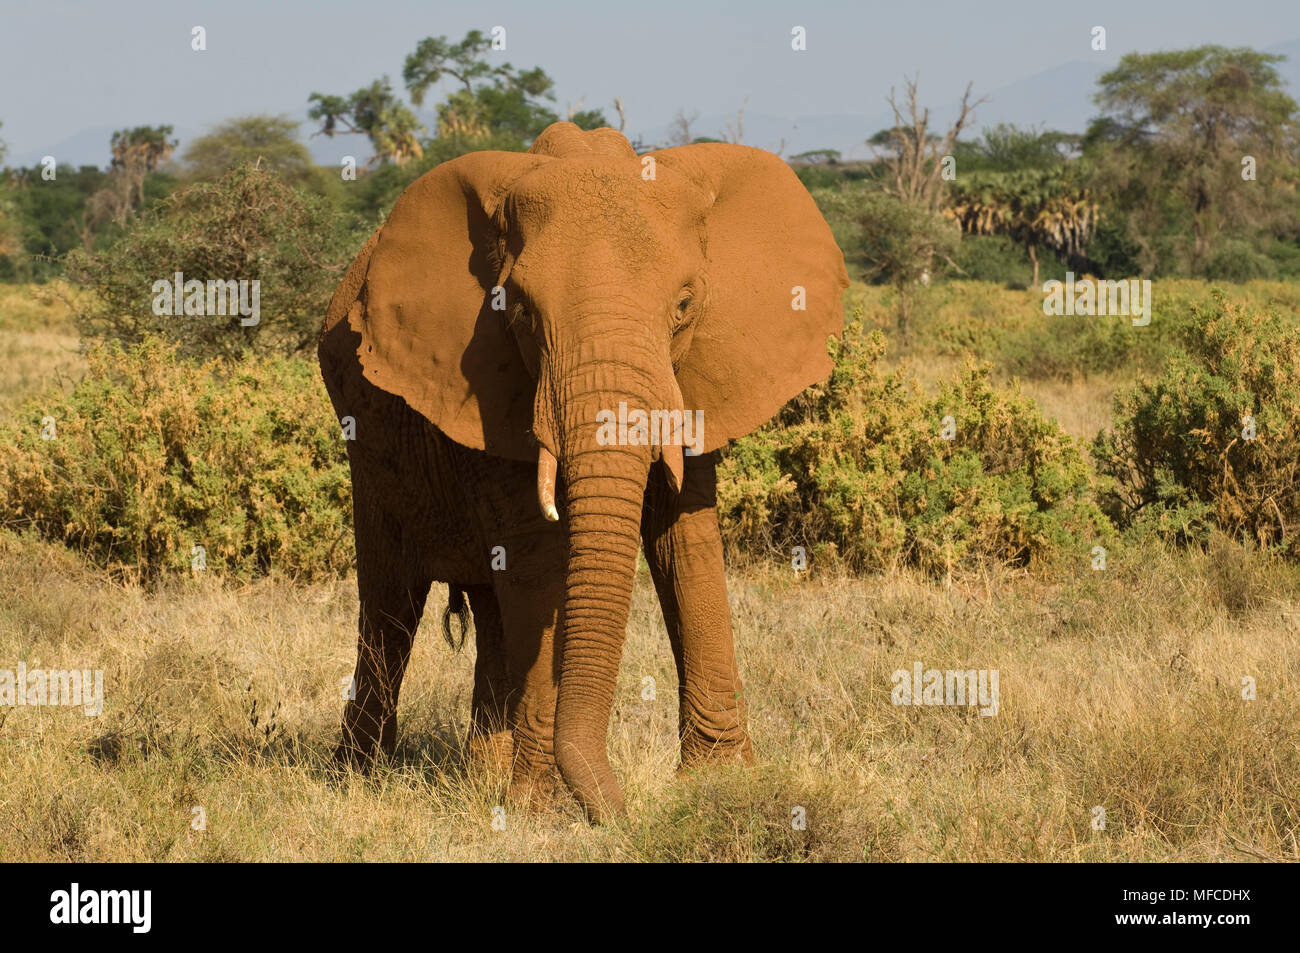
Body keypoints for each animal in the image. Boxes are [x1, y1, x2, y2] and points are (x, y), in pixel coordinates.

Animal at [318, 121, 847, 822]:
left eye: (684, 305)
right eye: (517, 311)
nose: (623, 815)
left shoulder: (695, 376)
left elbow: (686, 542)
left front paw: (722, 782)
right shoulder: (485, 388)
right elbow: (537, 562)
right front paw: (541, 810)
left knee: (485, 607)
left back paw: (481, 776)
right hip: (367, 443)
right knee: (390, 599)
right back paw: (359, 777)